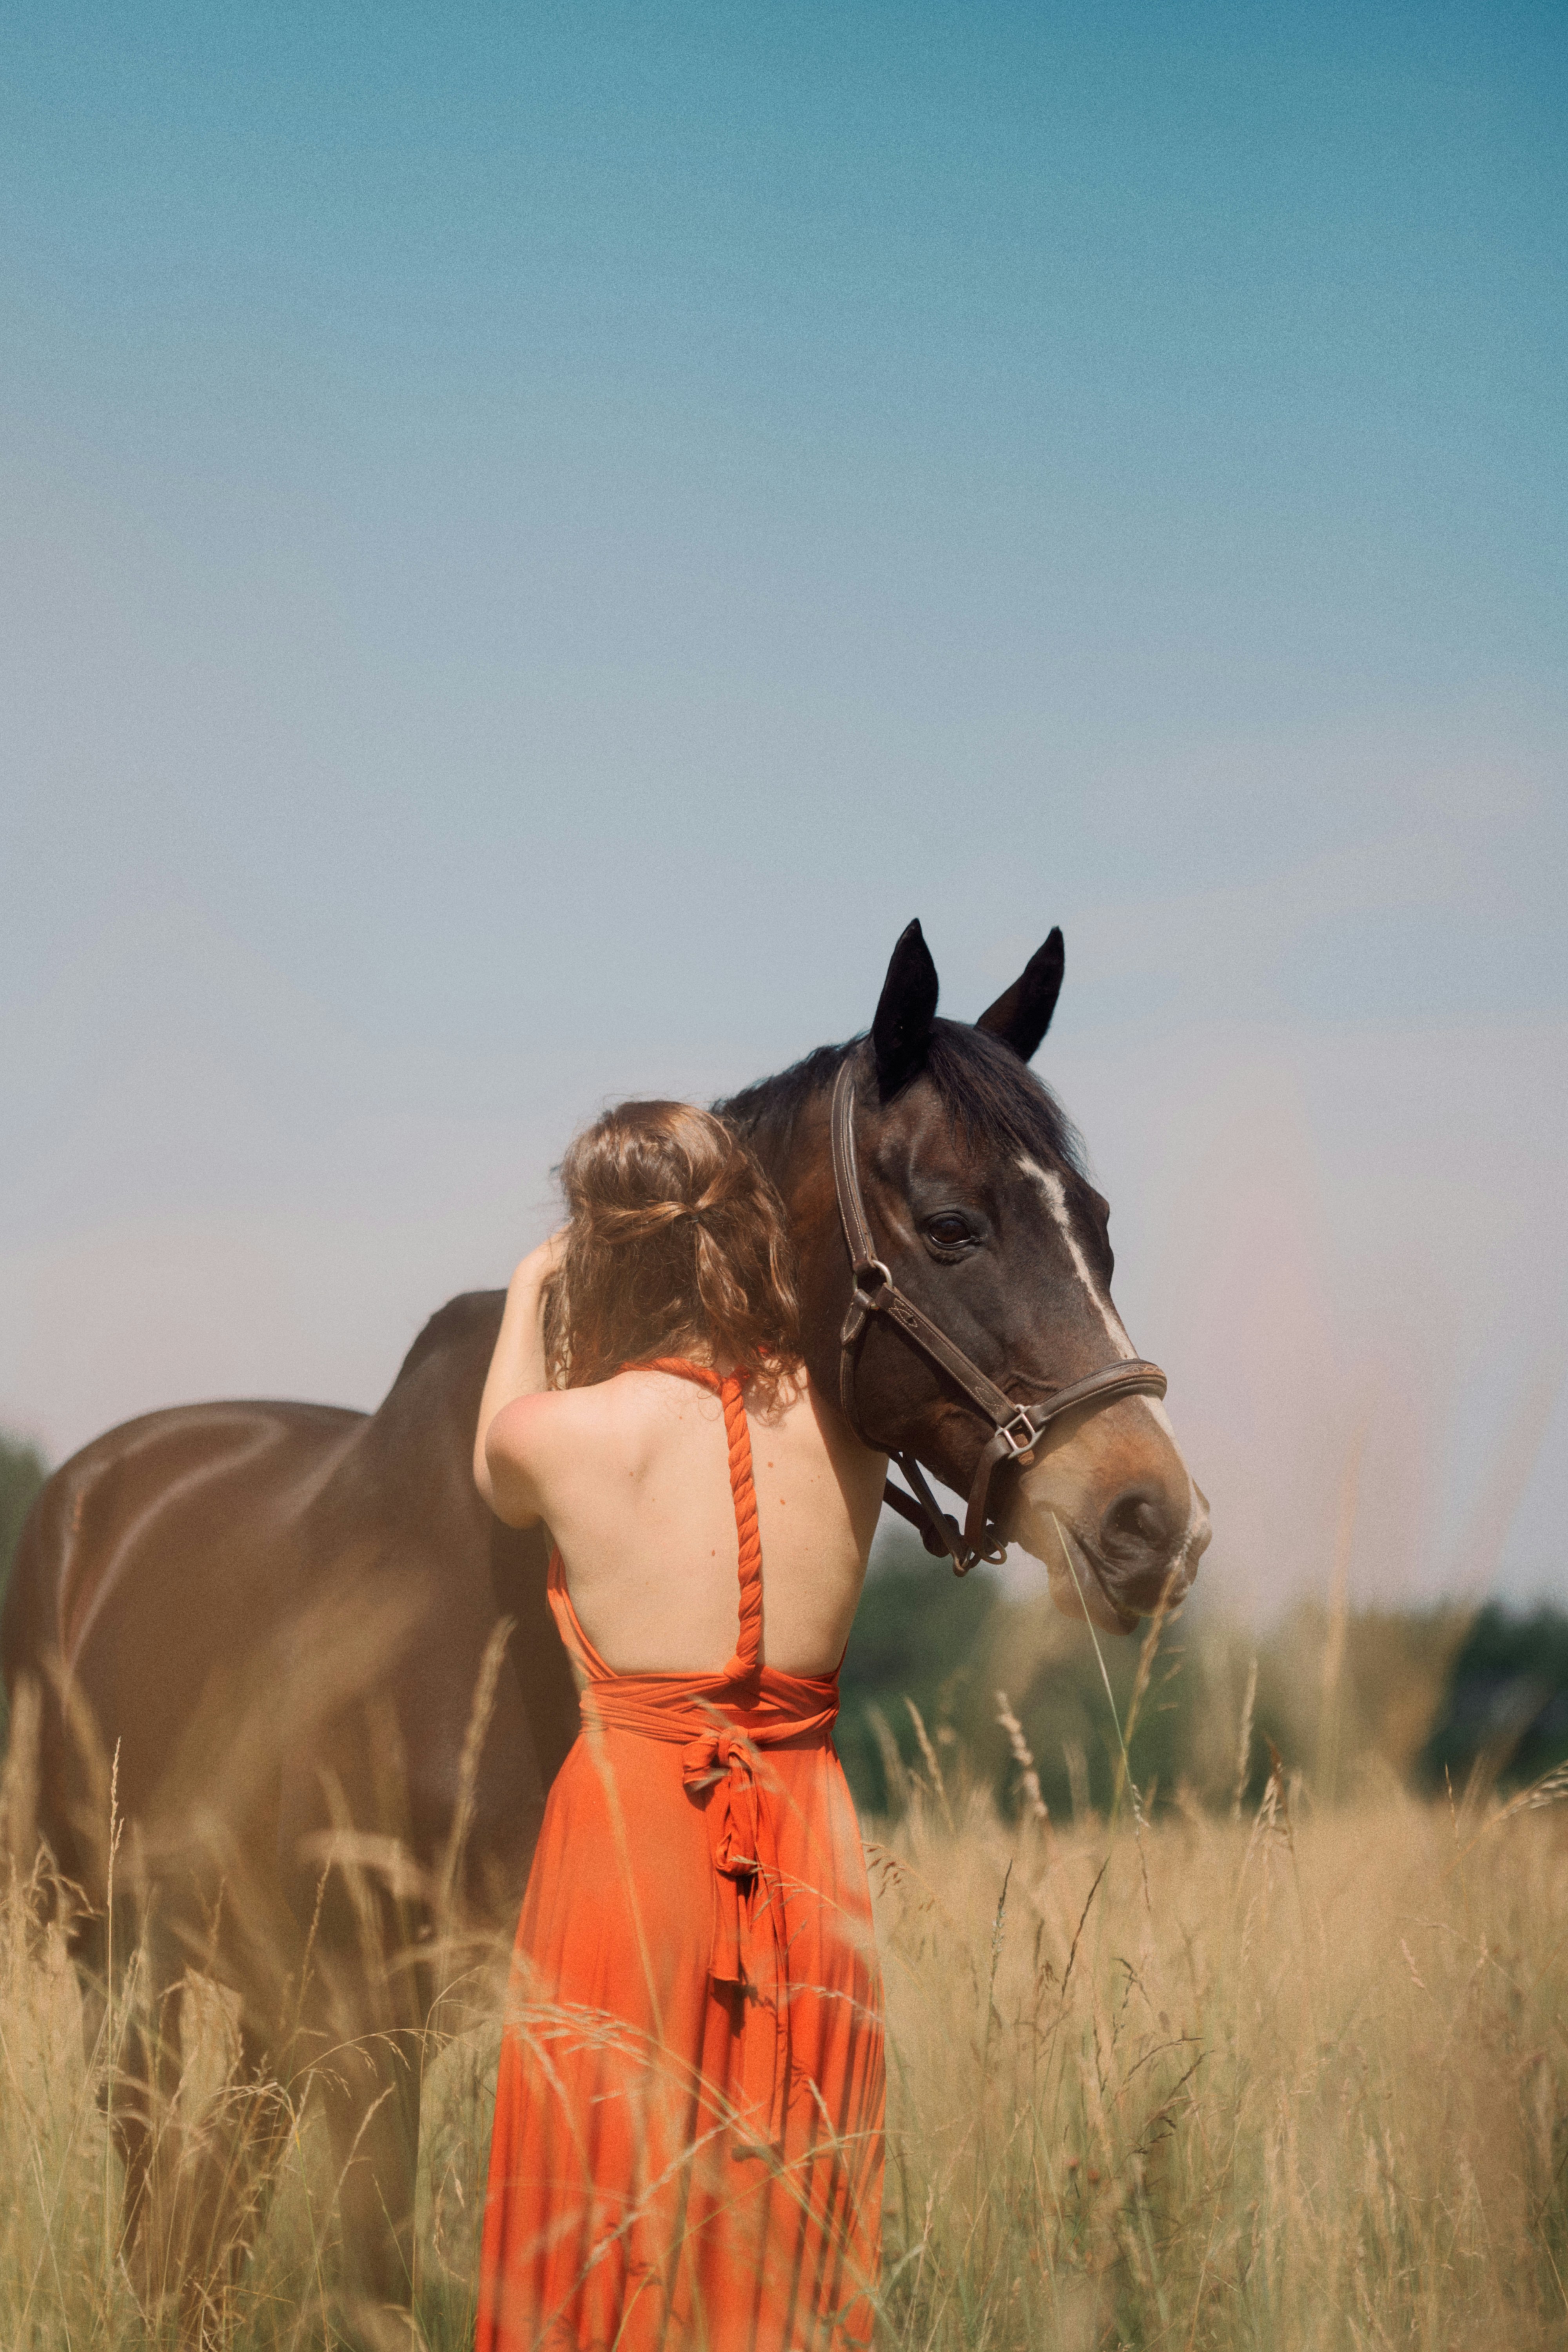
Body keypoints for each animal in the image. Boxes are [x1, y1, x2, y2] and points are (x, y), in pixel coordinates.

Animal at [0, 918, 1209, 2344]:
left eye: (1100, 1229)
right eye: (957, 1225)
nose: (1153, 1519)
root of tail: (93, 1489)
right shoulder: (367, 2014)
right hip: (119, 1951)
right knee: (148, 2157)